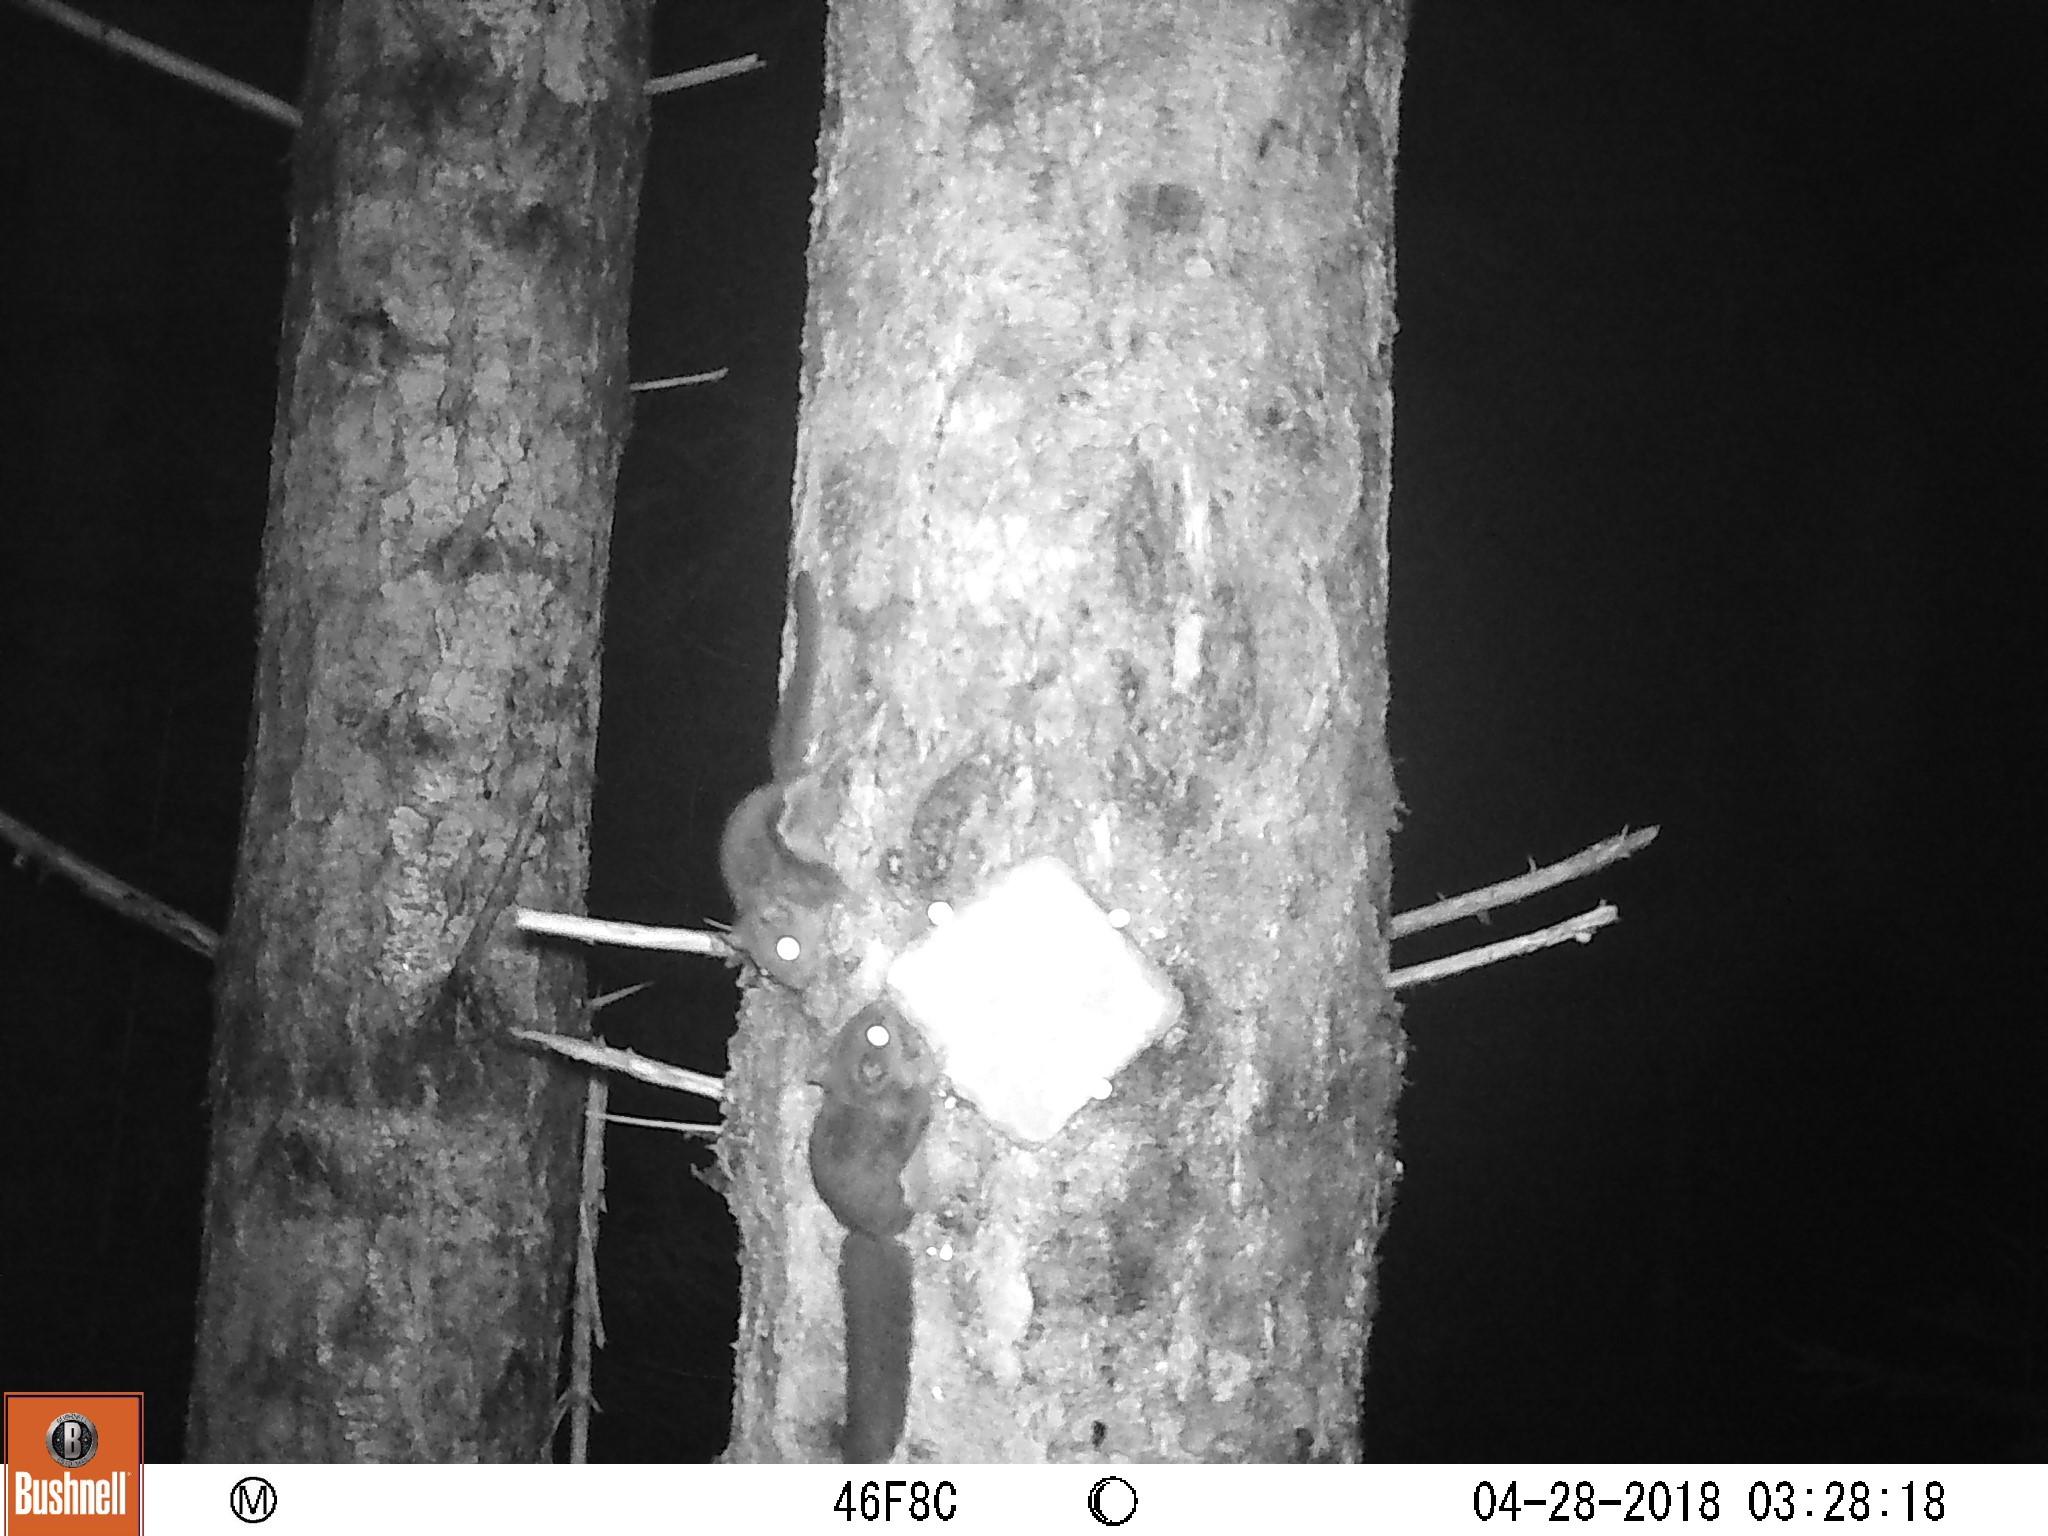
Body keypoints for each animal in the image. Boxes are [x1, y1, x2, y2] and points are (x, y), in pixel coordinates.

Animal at [808, 1005, 933, 1463]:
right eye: (877, 1034)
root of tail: (866, 1234)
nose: (879, 1003)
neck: (860, 1095)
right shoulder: (906, 1114)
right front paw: (935, 1066)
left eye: (858, 1024)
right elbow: (921, 1104)